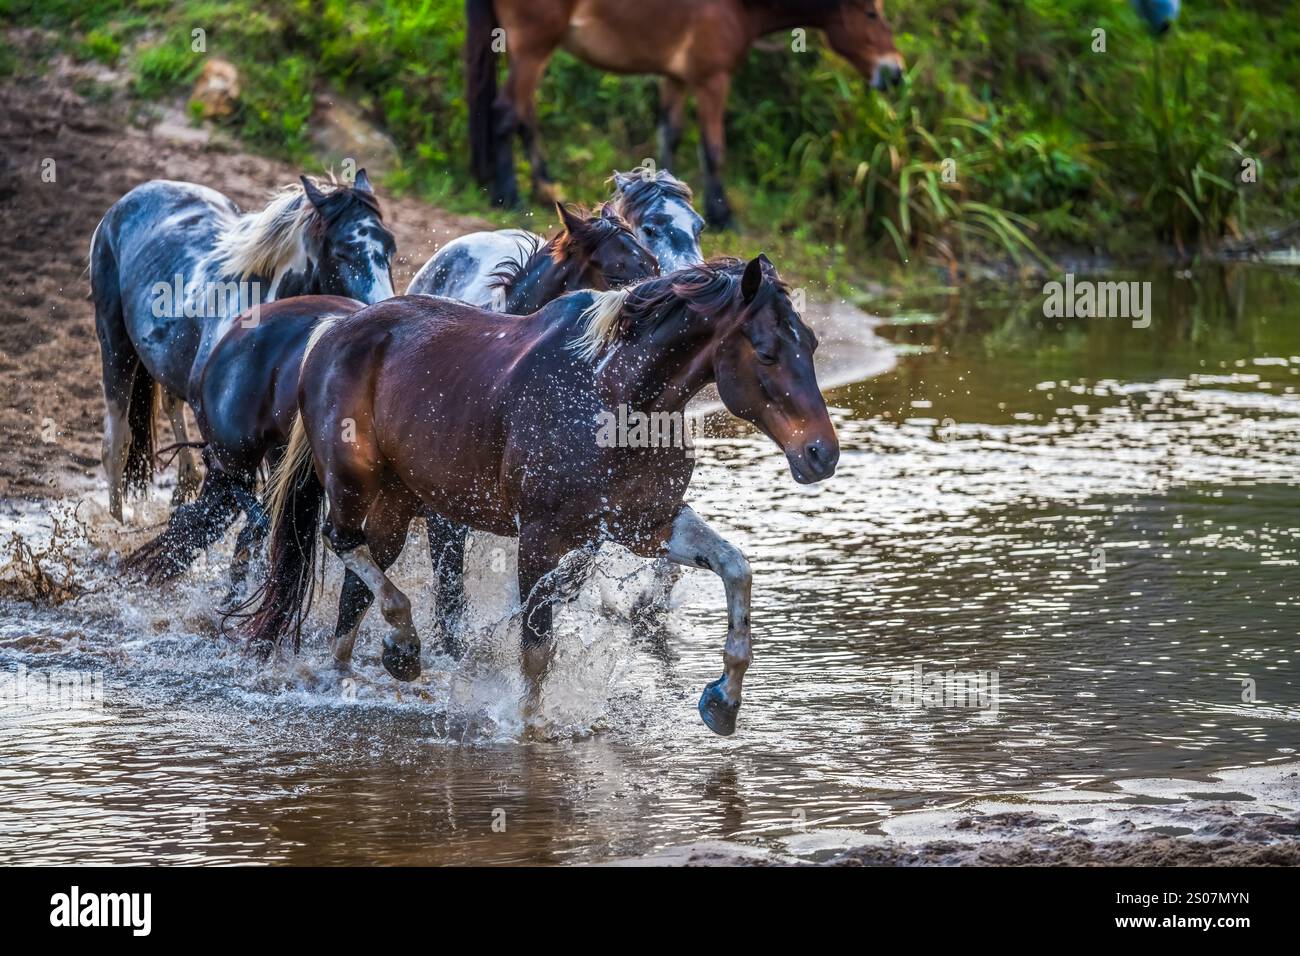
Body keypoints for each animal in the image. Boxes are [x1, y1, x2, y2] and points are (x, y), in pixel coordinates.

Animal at [90, 170, 395, 522]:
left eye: (390, 248)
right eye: (342, 252)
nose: (384, 310)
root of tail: (130, 199)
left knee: (169, 404)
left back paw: (181, 486)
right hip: (115, 346)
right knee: (116, 443)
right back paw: (116, 520)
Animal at [240, 255, 839, 736]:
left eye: (810, 344)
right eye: (766, 352)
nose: (821, 454)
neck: (615, 397)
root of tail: (332, 332)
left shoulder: (648, 524)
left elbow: (736, 568)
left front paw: (722, 701)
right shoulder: (540, 540)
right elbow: (536, 652)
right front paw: (529, 730)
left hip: (396, 503)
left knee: (354, 596)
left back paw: (364, 671)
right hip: (354, 485)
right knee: (342, 545)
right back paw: (404, 645)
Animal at [465, 0, 903, 228]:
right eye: (871, 14)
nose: (896, 71)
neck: (738, 5)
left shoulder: (674, 78)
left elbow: (669, 138)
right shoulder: (712, 80)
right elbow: (713, 150)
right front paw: (723, 215)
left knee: (525, 116)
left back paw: (544, 188)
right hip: (533, 49)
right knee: (507, 113)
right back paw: (509, 195)